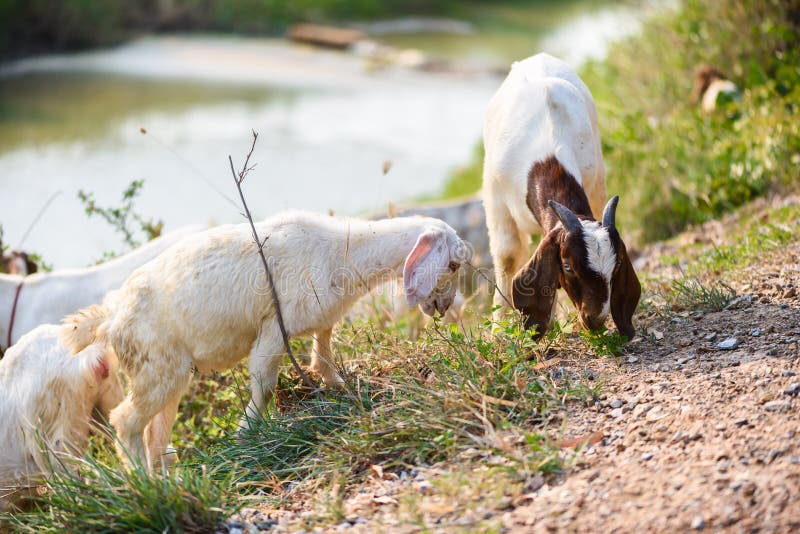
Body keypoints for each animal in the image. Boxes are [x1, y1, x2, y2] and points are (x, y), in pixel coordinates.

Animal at [61, 210, 468, 469]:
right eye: (452, 265)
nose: (444, 306)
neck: (344, 251)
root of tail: (110, 317)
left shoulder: (322, 318)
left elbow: (324, 355)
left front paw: (344, 390)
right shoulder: (275, 327)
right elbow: (264, 381)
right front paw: (248, 434)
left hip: (166, 376)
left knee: (154, 434)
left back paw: (168, 481)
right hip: (156, 368)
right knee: (125, 420)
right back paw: (145, 483)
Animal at [482, 53, 640, 339]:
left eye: (616, 267)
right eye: (567, 266)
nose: (595, 319)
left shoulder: (596, 182)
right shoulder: (494, 194)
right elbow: (508, 255)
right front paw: (499, 331)